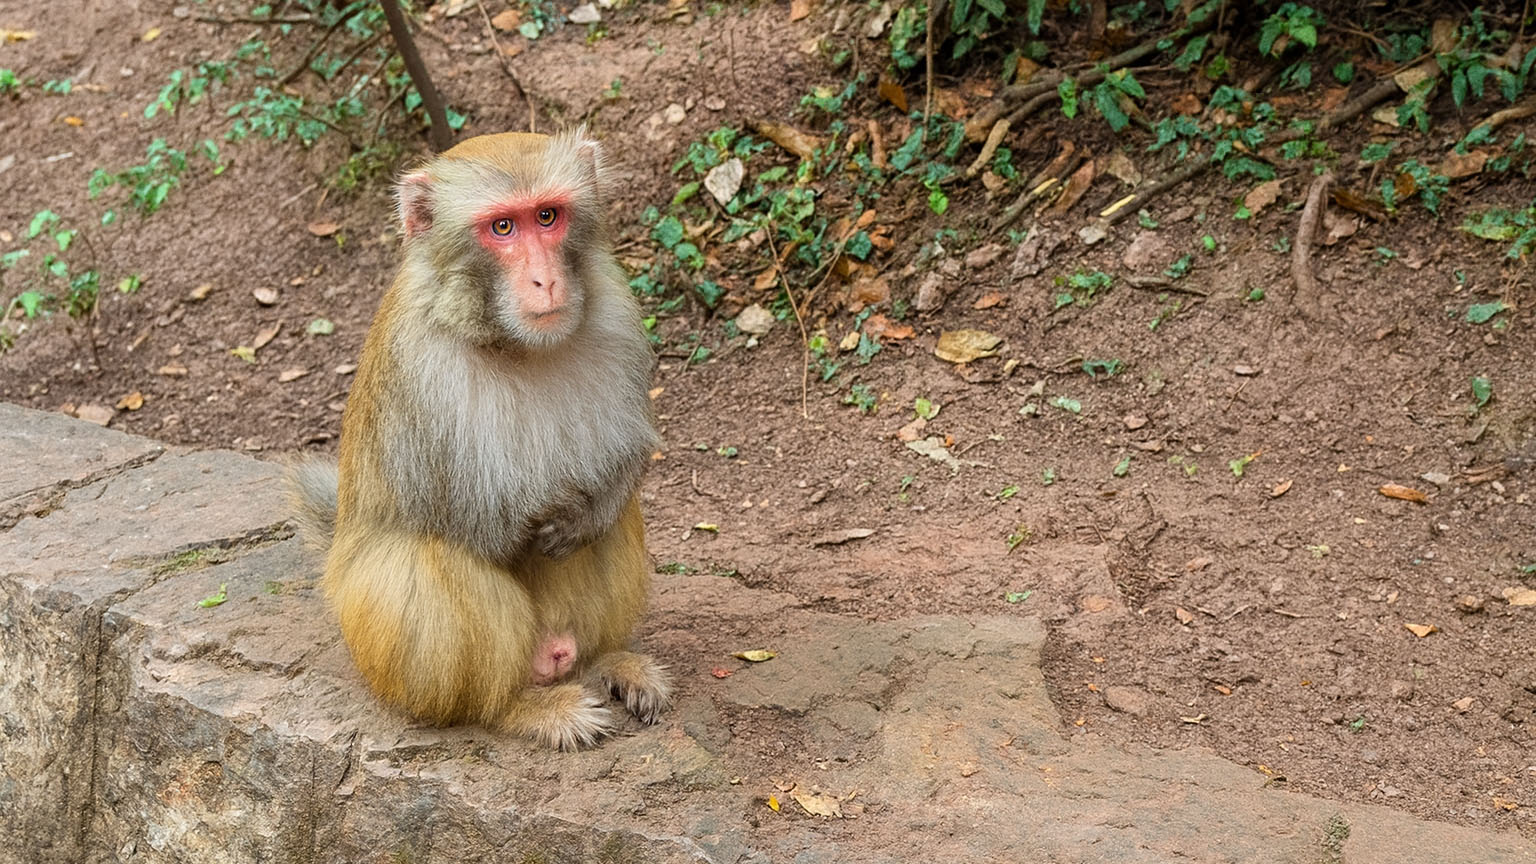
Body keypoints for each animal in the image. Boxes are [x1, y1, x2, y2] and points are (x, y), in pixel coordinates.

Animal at [288, 130, 669, 750]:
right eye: (503, 228)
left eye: (547, 216)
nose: (546, 280)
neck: (509, 342)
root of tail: (552, 655)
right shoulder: (422, 368)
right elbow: (477, 528)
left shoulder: (617, 311)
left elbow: (624, 466)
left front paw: (586, 513)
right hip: (376, 645)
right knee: (428, 556)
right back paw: (518, 708)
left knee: (619, 518)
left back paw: (607, 662)